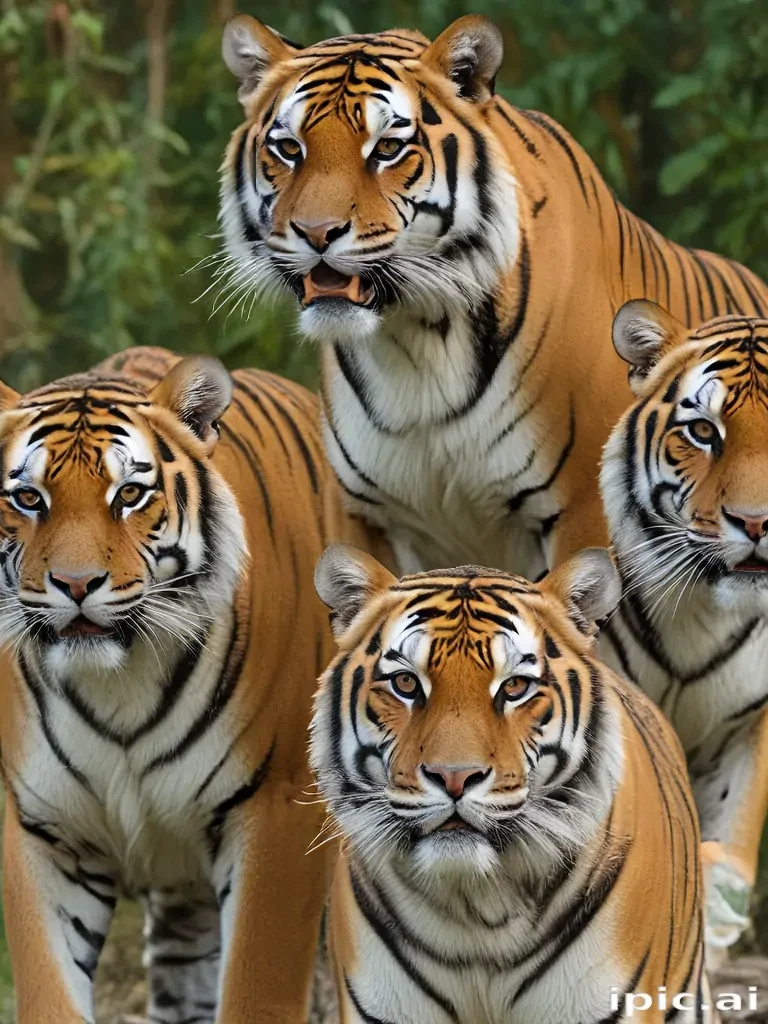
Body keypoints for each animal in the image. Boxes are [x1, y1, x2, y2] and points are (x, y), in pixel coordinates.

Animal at [0, 346, 381, 1023]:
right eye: (27, 498)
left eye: (129, 494)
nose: (75, 584)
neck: (116, 684)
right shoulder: (41, 829)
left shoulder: (275, 813)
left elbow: (255, 994)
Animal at [218, 13, 768, 583]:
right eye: (289, 149)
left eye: (387, 149)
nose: (316, 232)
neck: (413, 341)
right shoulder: (362, 513)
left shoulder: (581, 509)